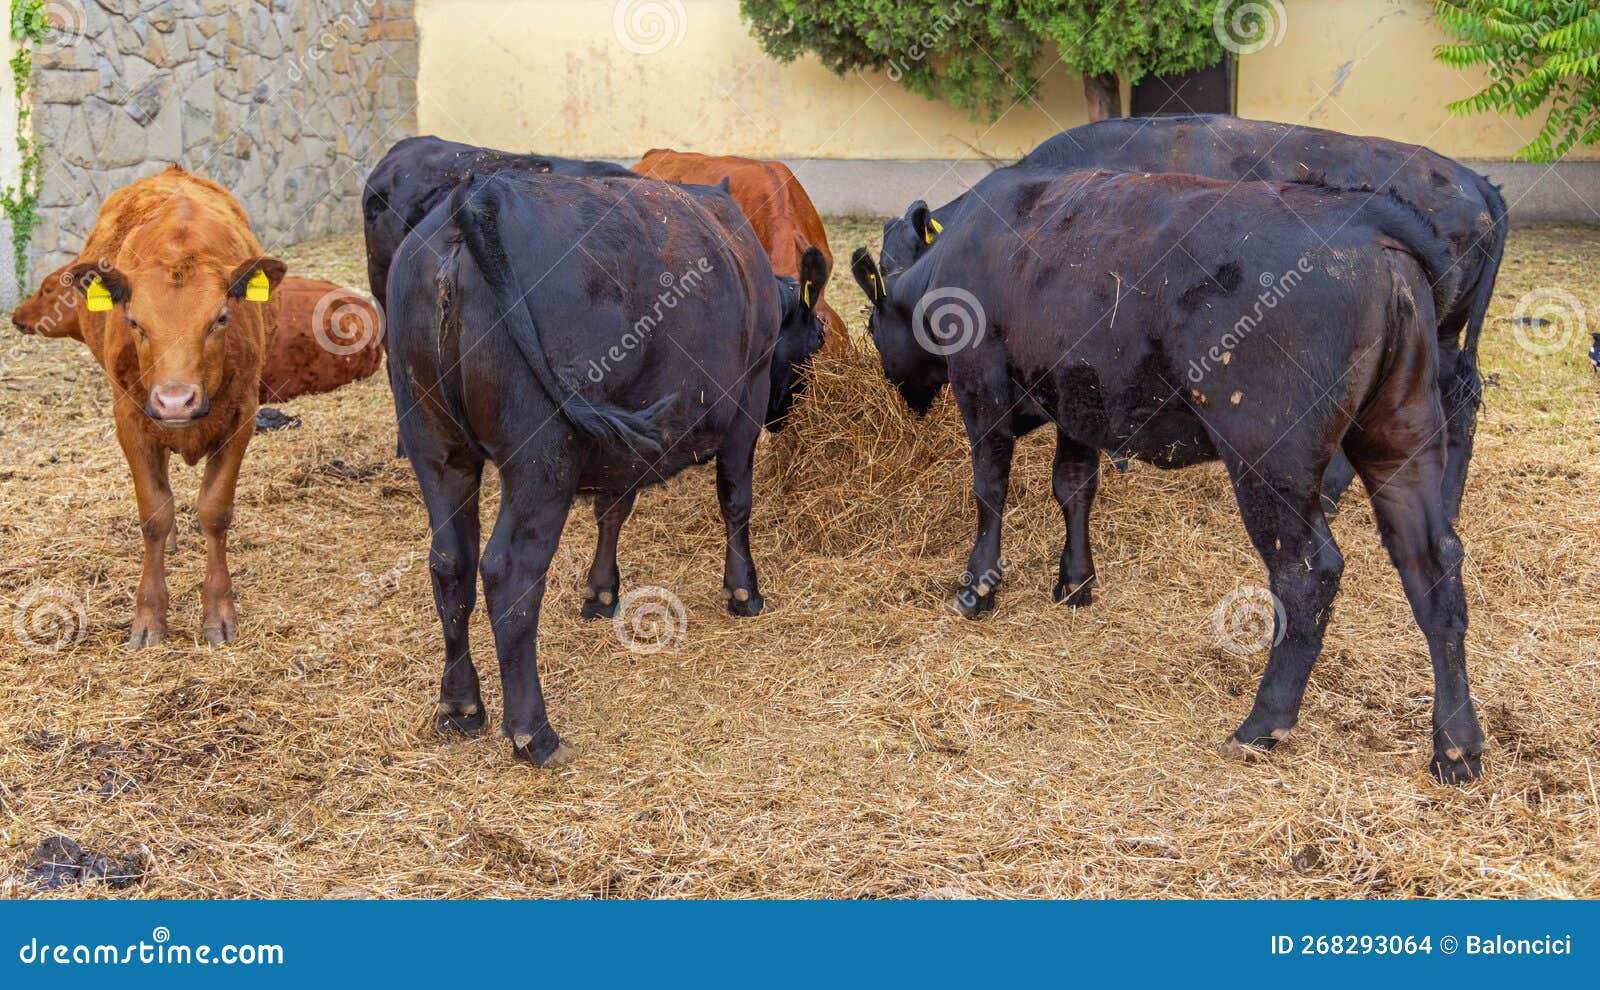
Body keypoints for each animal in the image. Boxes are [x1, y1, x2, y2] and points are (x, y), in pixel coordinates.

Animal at [61, 166, 285, 648]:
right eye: (134, 322)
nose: (175, 400)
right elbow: (154, 513)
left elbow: (214, 511)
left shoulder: (243, 416)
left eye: (221, 318)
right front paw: (149, 615)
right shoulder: (129, 419)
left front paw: (218, 610)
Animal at [385, 171, 823, 765]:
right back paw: (533, 731)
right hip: (540, 458)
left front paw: (600, 594)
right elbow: (736, 500)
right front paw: (743, 591)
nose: (787, 415)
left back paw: (460, 706)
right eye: (818, 339)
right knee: (509, 572)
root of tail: (477, 197)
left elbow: (613, 509)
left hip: (436, 445)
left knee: (451, 562)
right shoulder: (745, 408)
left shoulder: (623, 442)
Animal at [851, 167, 1485, 782]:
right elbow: (1073, 486)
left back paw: (1263, 724)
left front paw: (977, 589)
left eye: (871, 324)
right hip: (1400, 439)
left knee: (1308, 575)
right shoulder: (1079, 398)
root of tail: (1367, 221)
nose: (893, 388)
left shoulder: (980, 383)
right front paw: (1075, 583)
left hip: (1269, 456)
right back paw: (1456, 746)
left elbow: (989, 488)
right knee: (1433, 565)